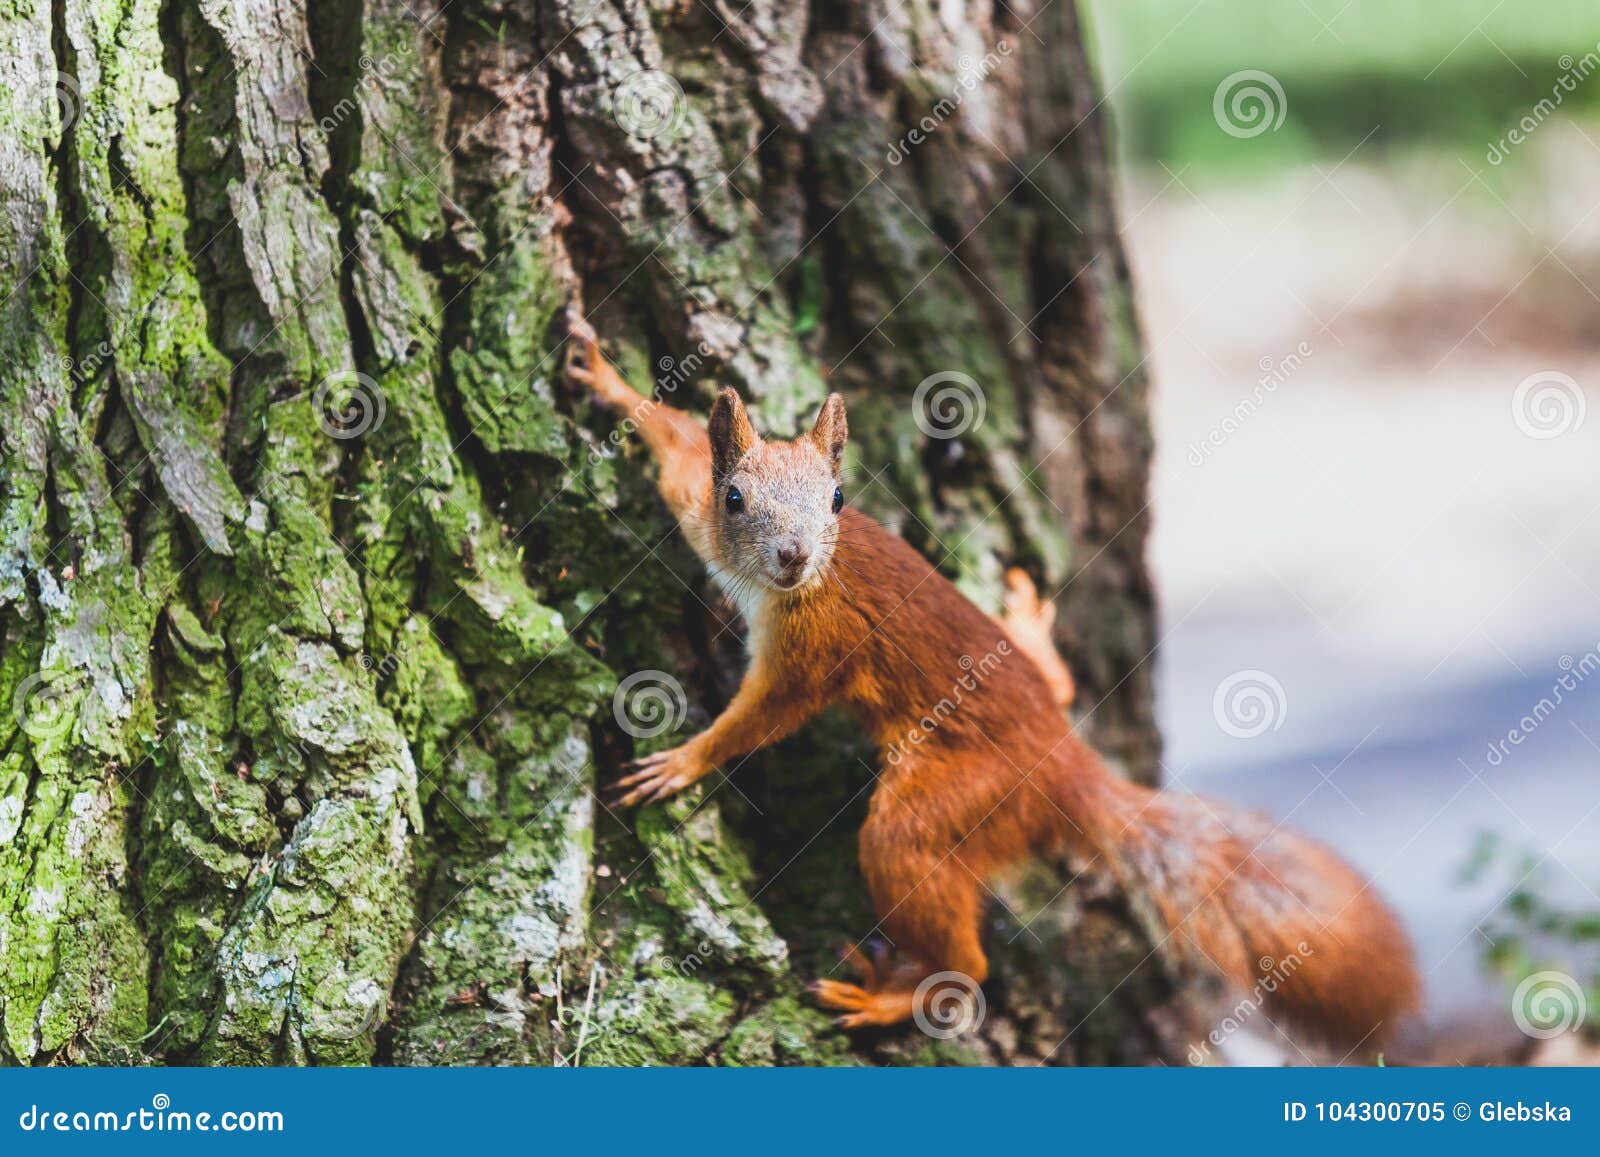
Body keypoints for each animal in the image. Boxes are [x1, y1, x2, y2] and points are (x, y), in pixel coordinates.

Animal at [566, 315, 1420, 1048]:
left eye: (838, 498)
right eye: (736, 496)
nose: (795, 556)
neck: (776, 587)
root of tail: (1067, 765)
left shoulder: (812, 652)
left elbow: (765, 714)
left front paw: (686, 759)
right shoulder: (695, 508)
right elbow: (675, 443)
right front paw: (605, 375)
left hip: (962, 796)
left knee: (942, 913)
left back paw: (892, 996)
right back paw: (1036, 635)